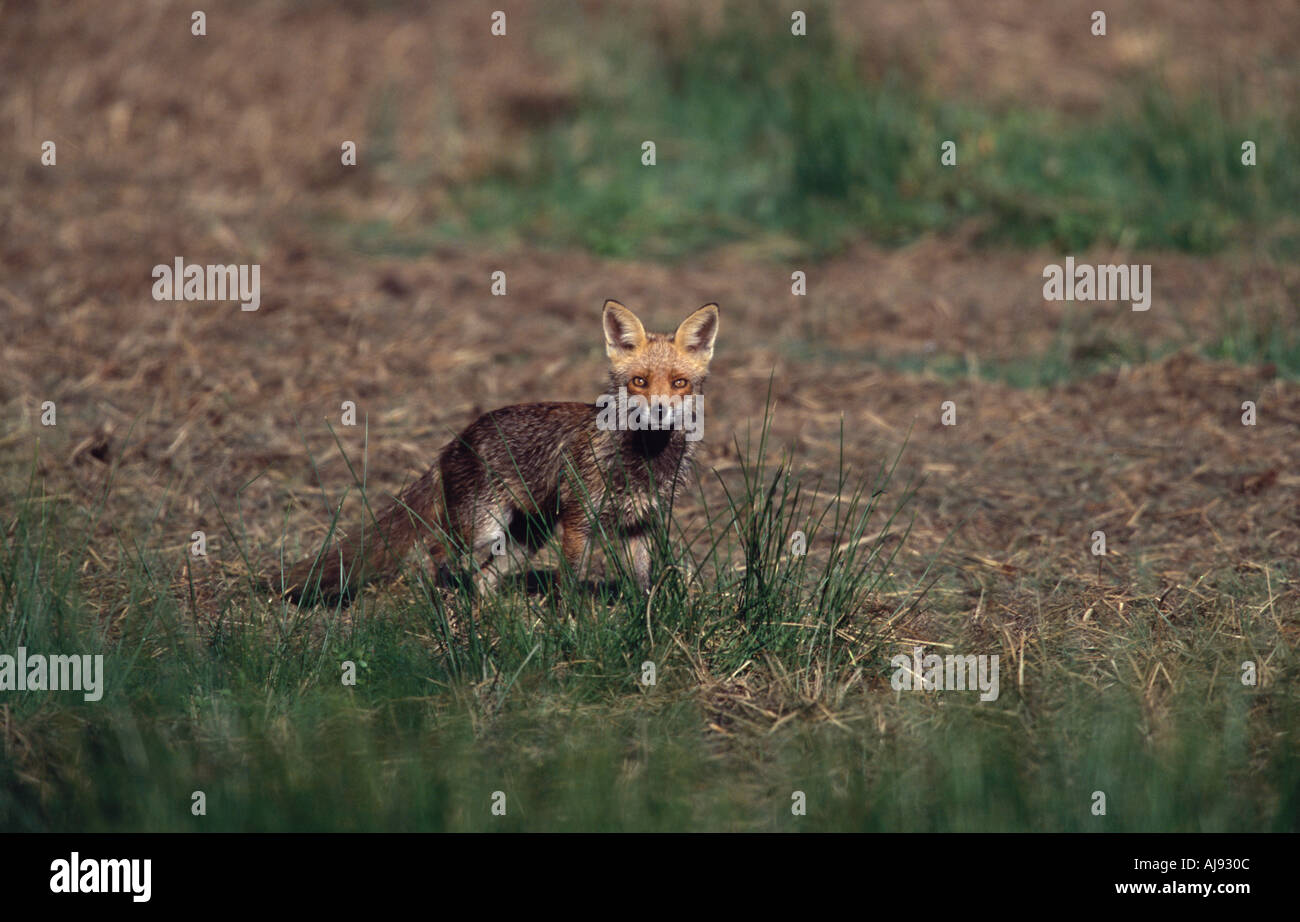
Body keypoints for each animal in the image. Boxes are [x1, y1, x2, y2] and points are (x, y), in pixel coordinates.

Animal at [276, 299, 719, 604]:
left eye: (679, 383)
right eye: (639, 381)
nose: (658, 411)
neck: (641, 461)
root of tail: (454, 442)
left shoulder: (640, 525)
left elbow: (643, 585)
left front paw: (648, 626)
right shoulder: (579, 521)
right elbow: (569, 583)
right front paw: (572, 627)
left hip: (524, 539)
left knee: (485, 577)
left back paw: (492, 620)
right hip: (483, 529)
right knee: (439, 552)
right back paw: (451, 609)